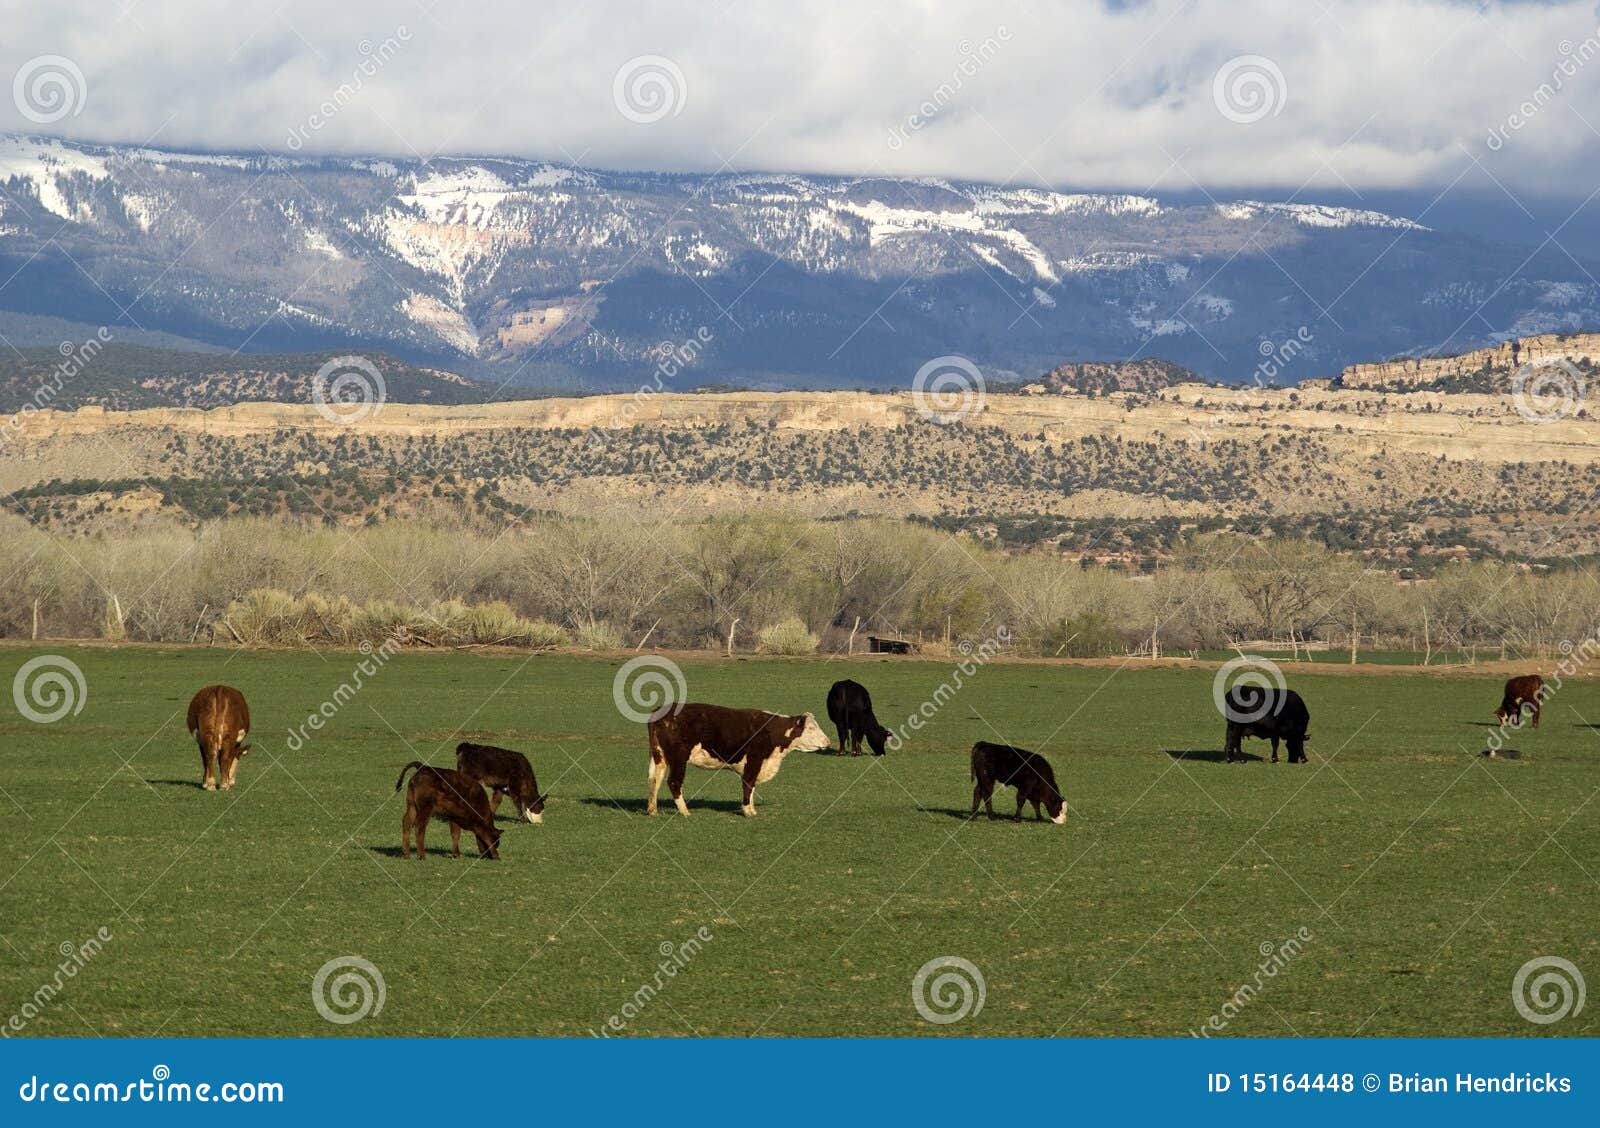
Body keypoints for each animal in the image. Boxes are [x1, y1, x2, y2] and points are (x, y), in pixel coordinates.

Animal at [647, 703, 830, 817]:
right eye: (811, 728)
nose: (828, 741)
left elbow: (753, 786)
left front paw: (752, 809)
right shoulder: (754, 761)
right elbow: (748, 784)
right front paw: (748, 811)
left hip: (658, 756)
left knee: (654, 780)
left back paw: (652, 810)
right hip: (678, 758)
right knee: (674, 782)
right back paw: (685, 812)